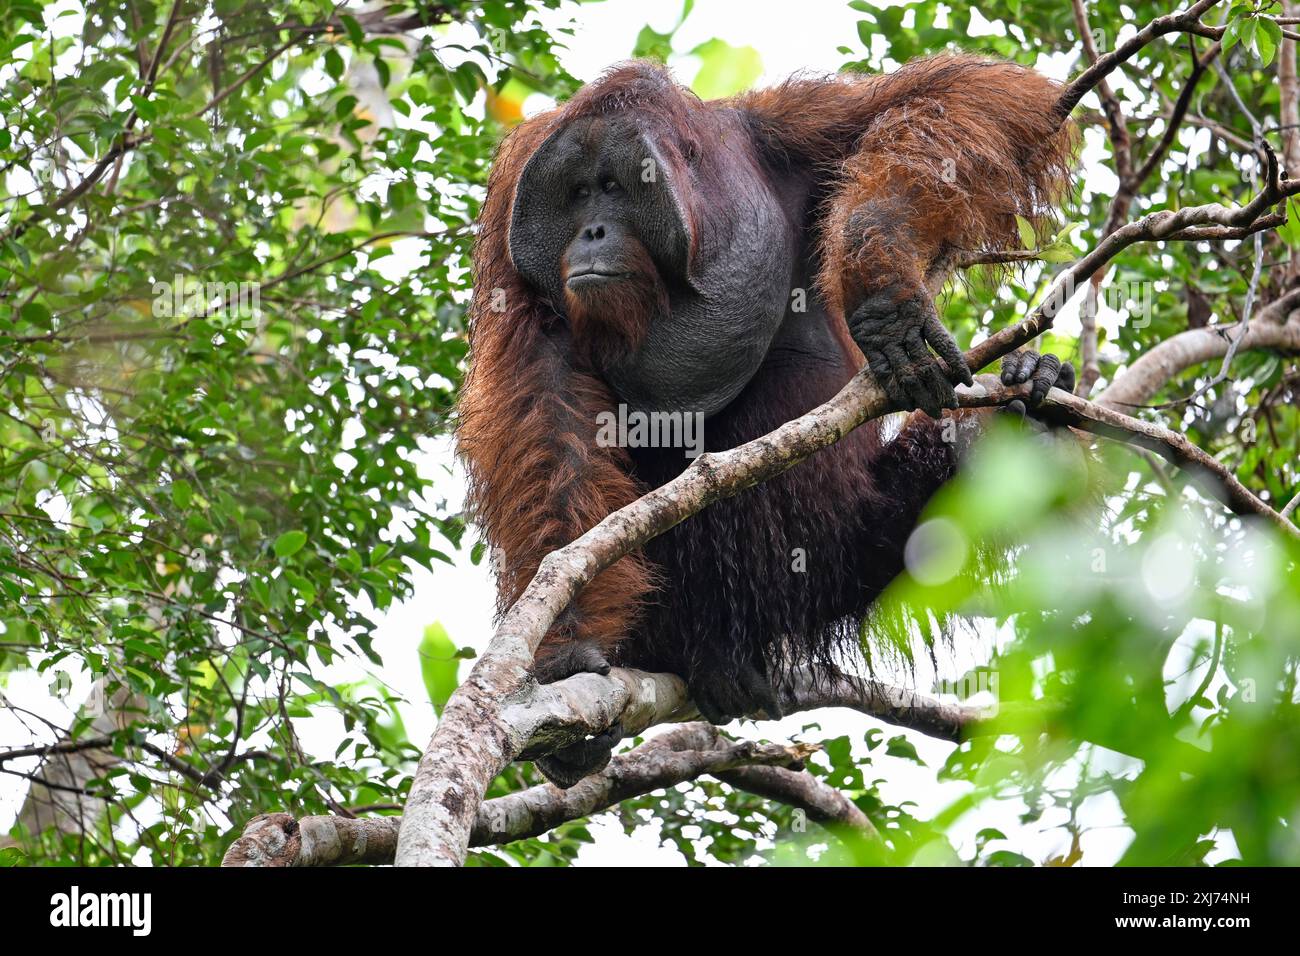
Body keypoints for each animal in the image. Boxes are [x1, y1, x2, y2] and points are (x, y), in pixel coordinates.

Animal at [458, 54, 1080, 787]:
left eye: (611, 188)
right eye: (576, 195)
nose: (591, 231)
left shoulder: (792, 128)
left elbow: (963, 98)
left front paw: (884, 283)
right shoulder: (514, 244)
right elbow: (547, 412)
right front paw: (565, 654)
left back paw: (1031, 417)